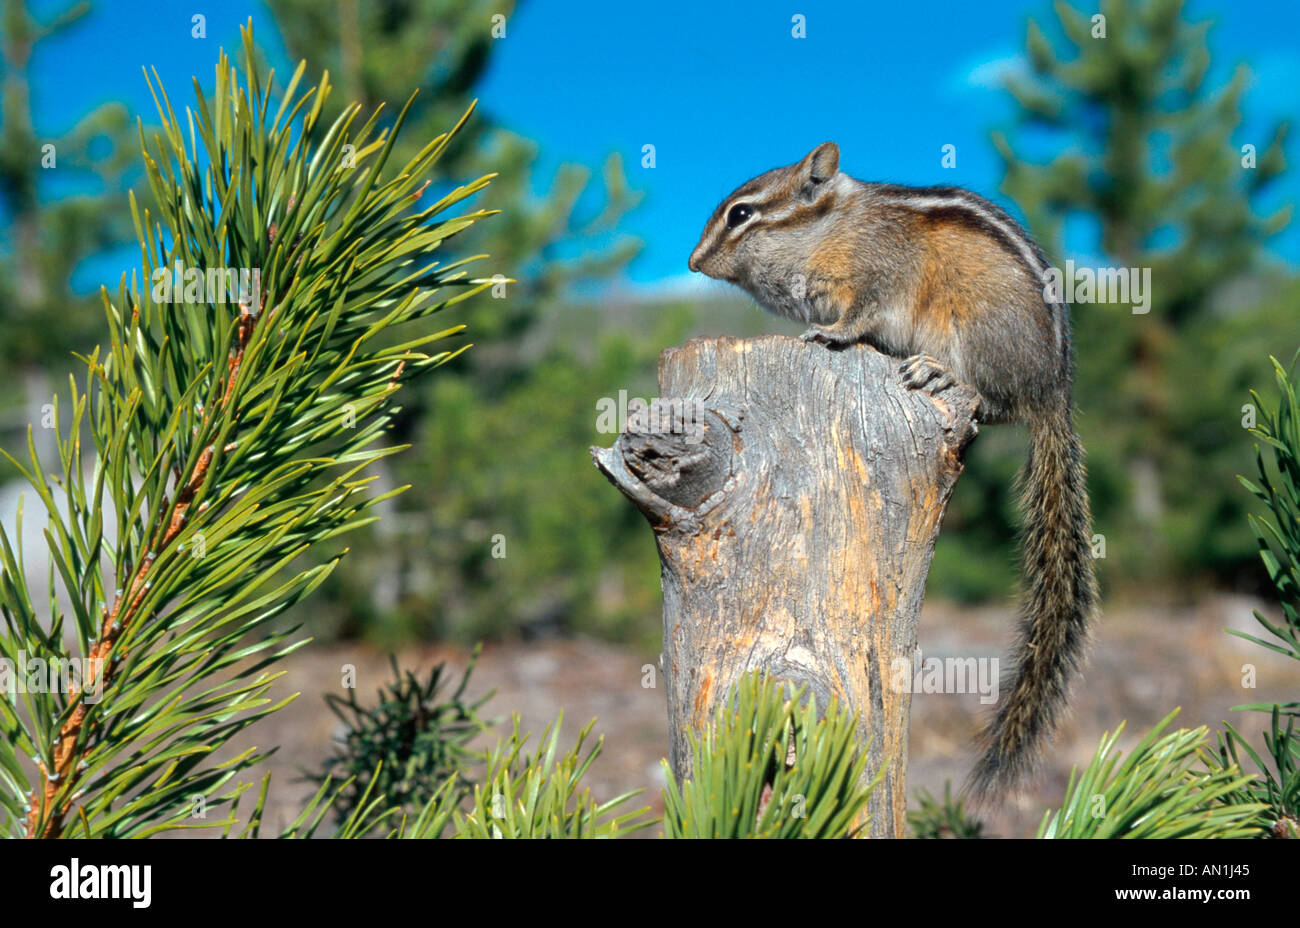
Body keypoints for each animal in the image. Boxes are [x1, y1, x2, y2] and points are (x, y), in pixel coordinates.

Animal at [688, 141, 1099, 800]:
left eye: (742, 214)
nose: (692, 262)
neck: (833, 227)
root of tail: (1053, 395)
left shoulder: (878, 278)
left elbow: (860, 314)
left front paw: (829, 334)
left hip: (978, 328)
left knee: (994, 400)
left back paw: (941, 373)